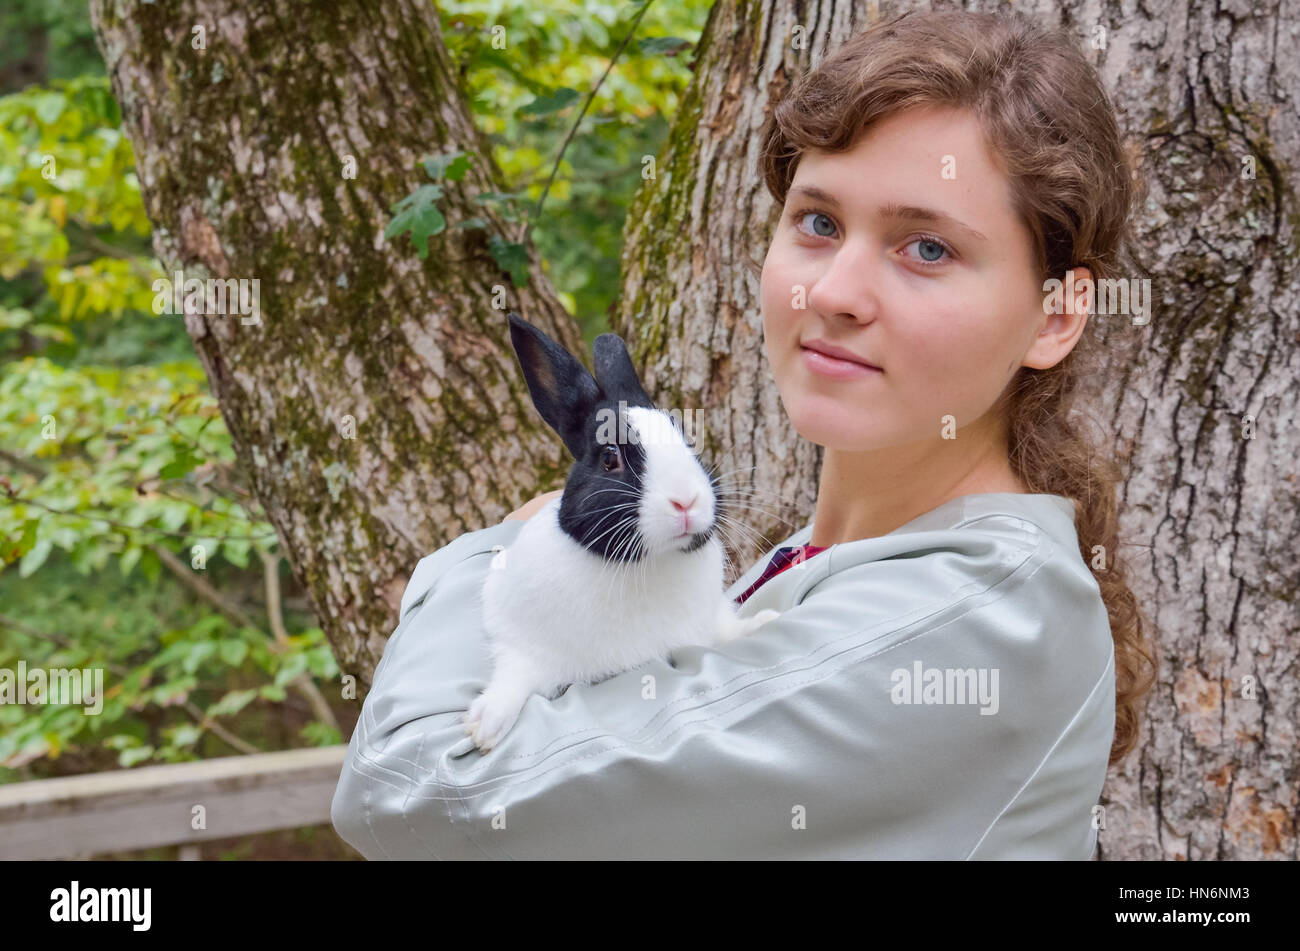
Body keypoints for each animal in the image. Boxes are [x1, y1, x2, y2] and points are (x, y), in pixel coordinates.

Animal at [461, 312, 780, 753]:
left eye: (688, 440)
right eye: (610, 457)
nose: (686, 501)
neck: (650, 563)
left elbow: (725, 630)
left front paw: (764, 621)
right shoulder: (520, 639)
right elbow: (516, 671)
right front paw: (485, 726)